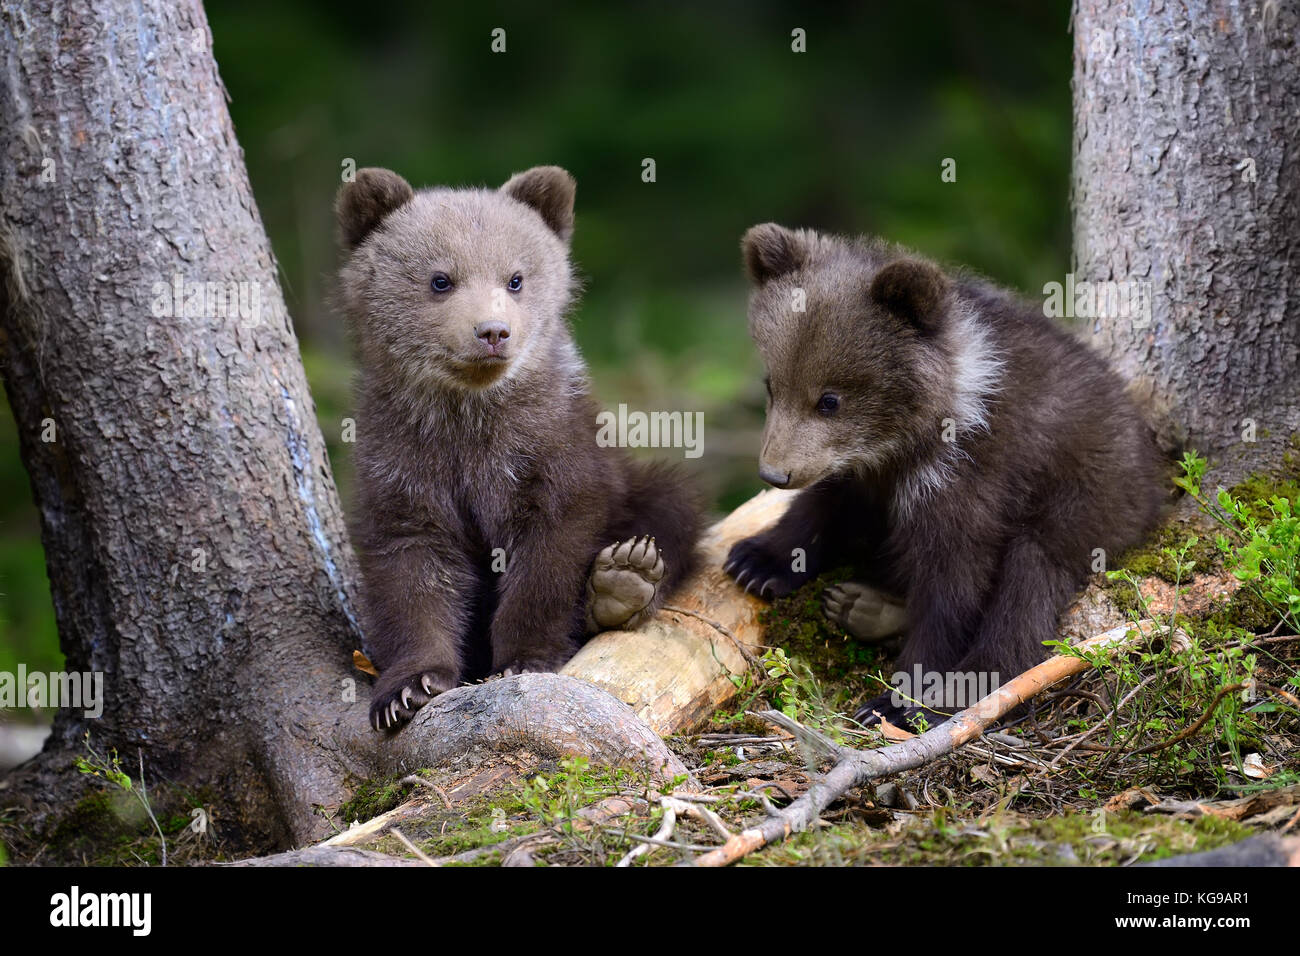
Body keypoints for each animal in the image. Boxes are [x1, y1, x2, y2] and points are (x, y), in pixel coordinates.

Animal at [334, 165, 703, 730]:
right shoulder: (402, 460)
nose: (492, 331)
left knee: (673, 502)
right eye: (440, 279)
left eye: (515, 278)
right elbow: (411, 571)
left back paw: (624, 579)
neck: (467, 415)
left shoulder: (551, 450)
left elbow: (548, 553)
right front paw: (407, 688)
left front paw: (524, 658)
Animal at [724, 223, 1166, 727]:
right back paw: (866, 606)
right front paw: (756, 560)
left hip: (1086, 494)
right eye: (773, 385)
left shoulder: (969, 475)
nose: (775, 472)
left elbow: (953, 584)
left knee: (1030, 578)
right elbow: (823, 505)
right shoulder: (861, 471)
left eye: (830, 399)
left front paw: (899, 700)